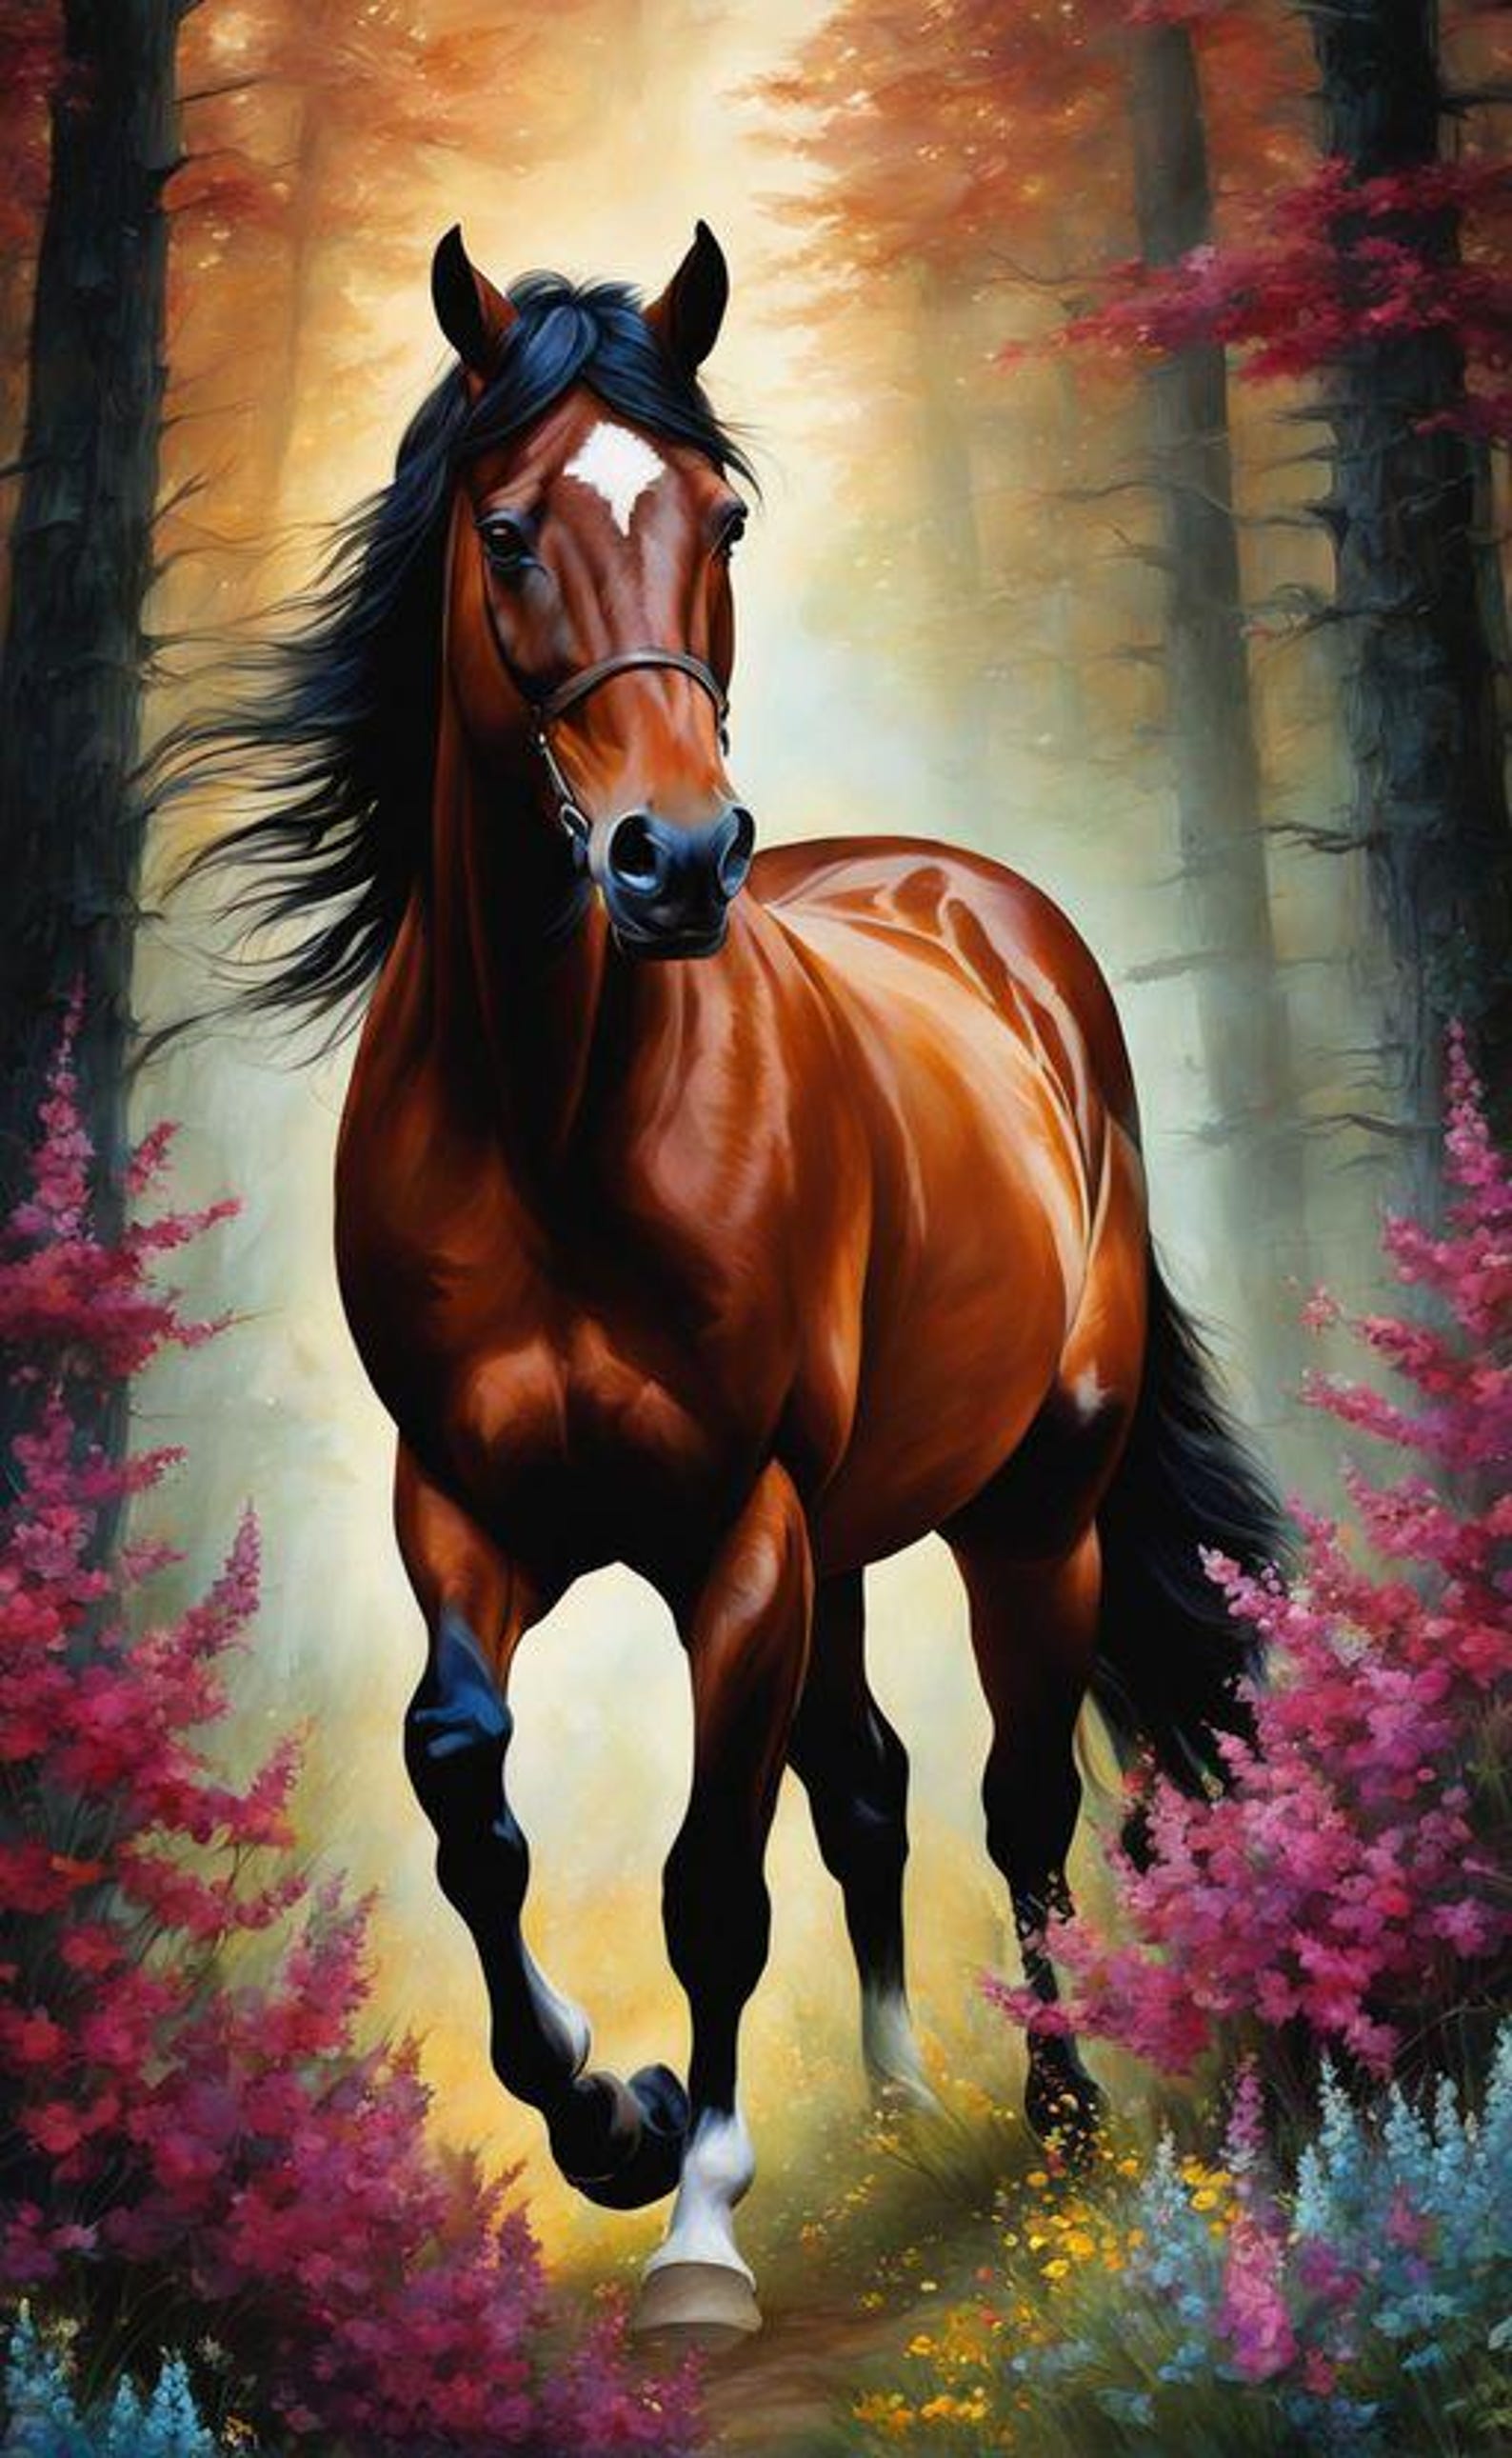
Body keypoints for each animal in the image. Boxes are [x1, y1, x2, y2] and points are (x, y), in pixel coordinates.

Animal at [181, 222, 1279, 2341]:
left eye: (724, 517)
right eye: (505, 529)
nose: (674, 861)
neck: (557, 1120)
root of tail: (983, 912)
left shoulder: (736, 1536)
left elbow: (710, 1876)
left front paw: (692, 2220)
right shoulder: (466, 1508)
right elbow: (466, 1798)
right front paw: (610, 2106)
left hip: (1028, 1513)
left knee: (1018, 1804)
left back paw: (1057, 2118)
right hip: (851, 1545)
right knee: (867, 1785)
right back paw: (899, 2095)